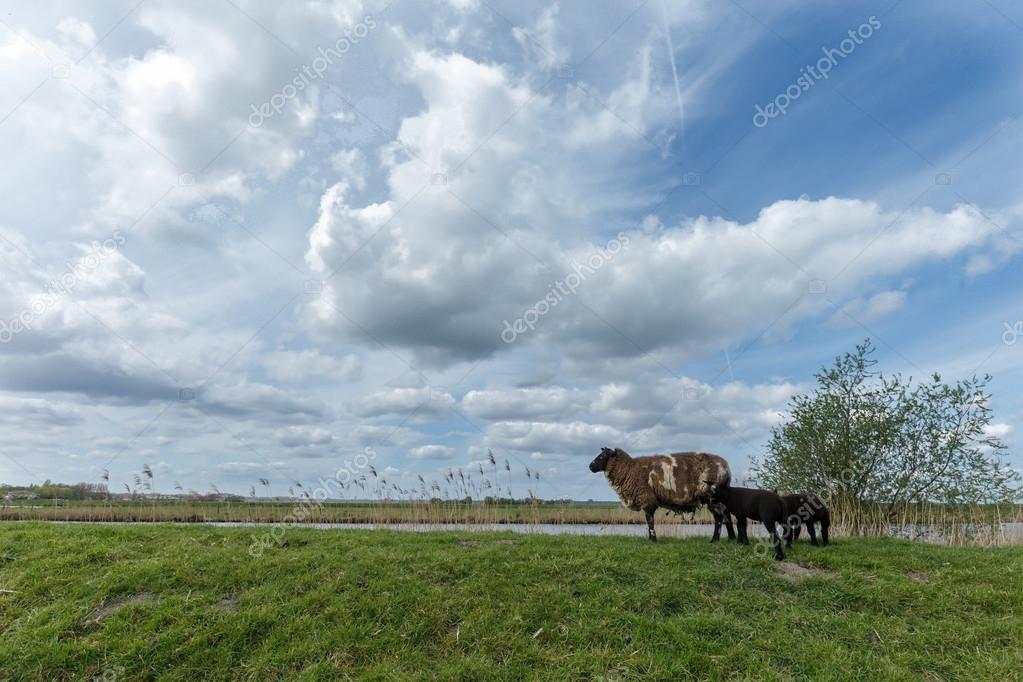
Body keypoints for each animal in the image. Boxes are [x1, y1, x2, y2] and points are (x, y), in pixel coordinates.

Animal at [588, 447, 734, 542]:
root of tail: (726, 467)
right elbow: (649, 521)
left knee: (718, 518)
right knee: (726, 516)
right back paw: (731, 538)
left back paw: (714, 539)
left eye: (602, 456)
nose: (590, 466)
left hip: (711, 495)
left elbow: (650, 521)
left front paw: (653, 539)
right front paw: (650, 538)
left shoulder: (647, 498)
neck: (630, 469)